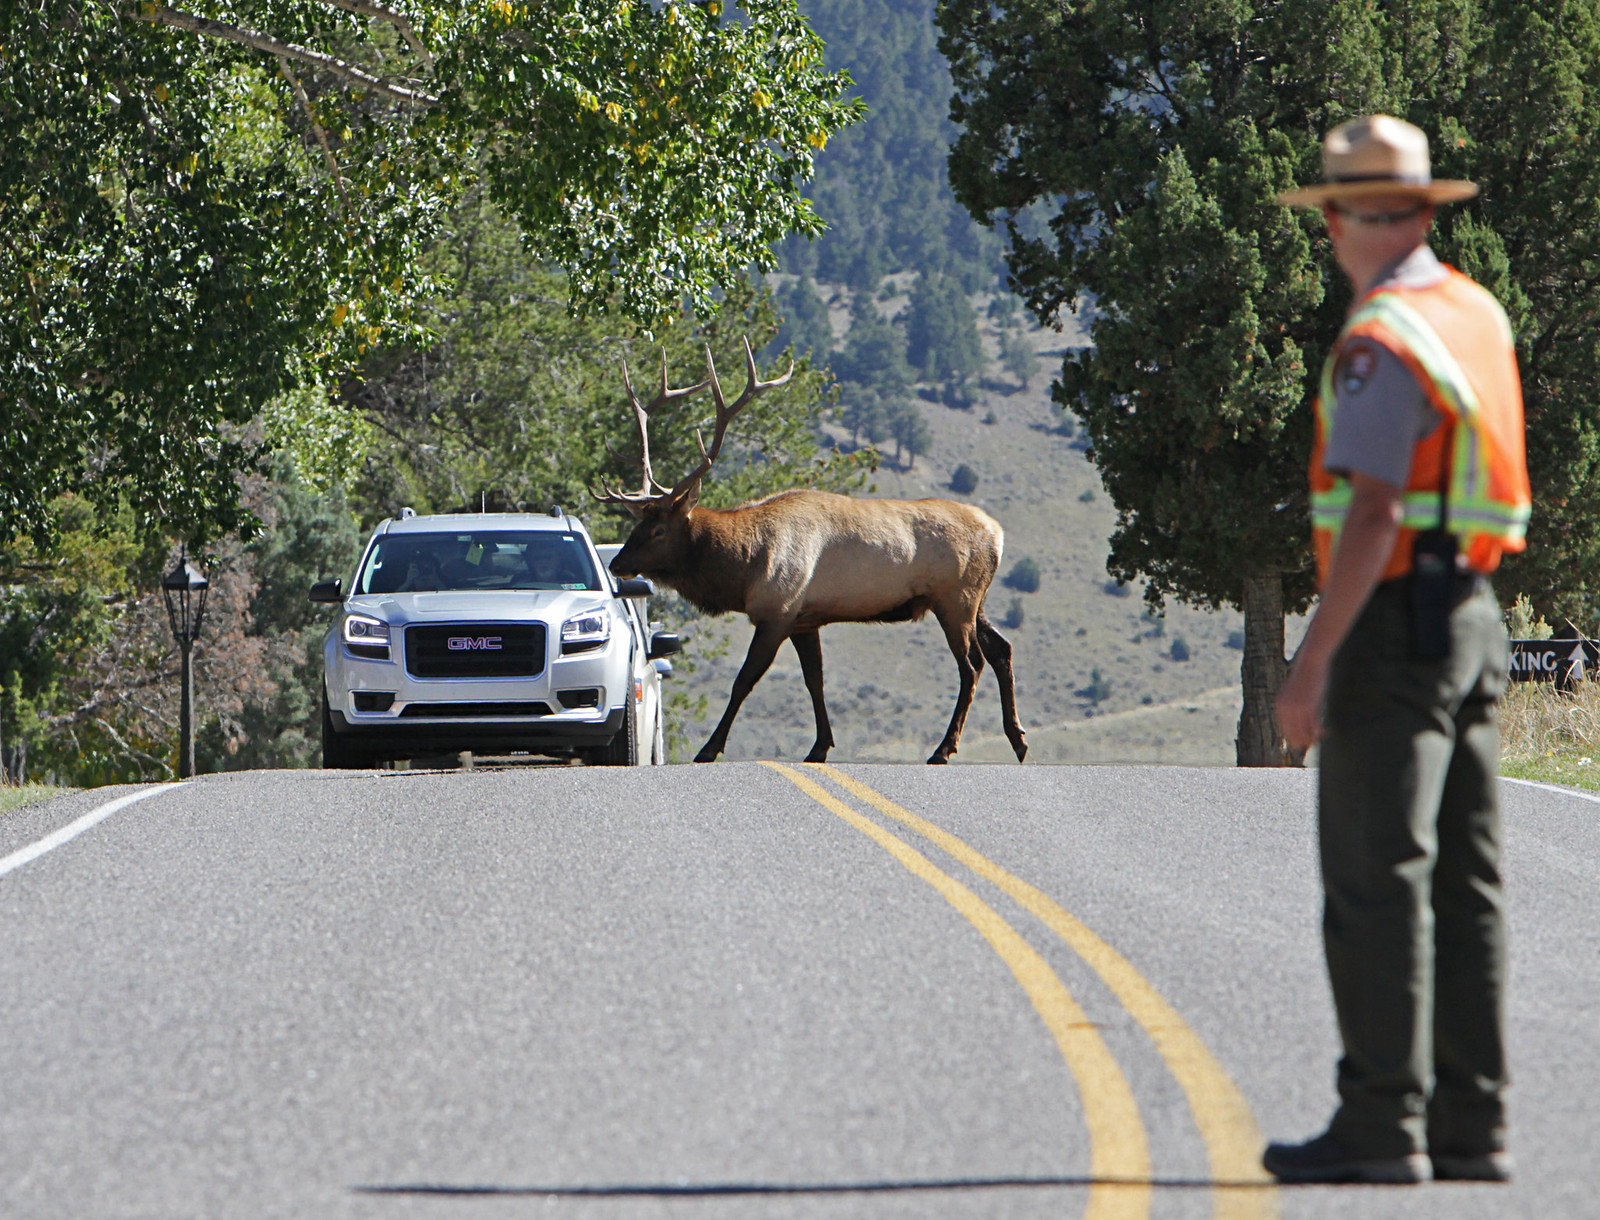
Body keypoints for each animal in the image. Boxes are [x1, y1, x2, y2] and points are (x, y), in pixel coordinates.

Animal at [592, 339, 1028, 766]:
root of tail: (998, 534)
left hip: (955, 598)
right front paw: (820, 746)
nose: (616, 563)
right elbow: (814, 680)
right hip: (974, 600)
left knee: (971, 665)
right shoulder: (805, 619)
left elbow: (743, 680)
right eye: (636, 525)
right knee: (1002, 649)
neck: (744, 568)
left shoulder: (778, 611)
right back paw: (1017, 739)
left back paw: (943, 749)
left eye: (658, 530)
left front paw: (710, 748)